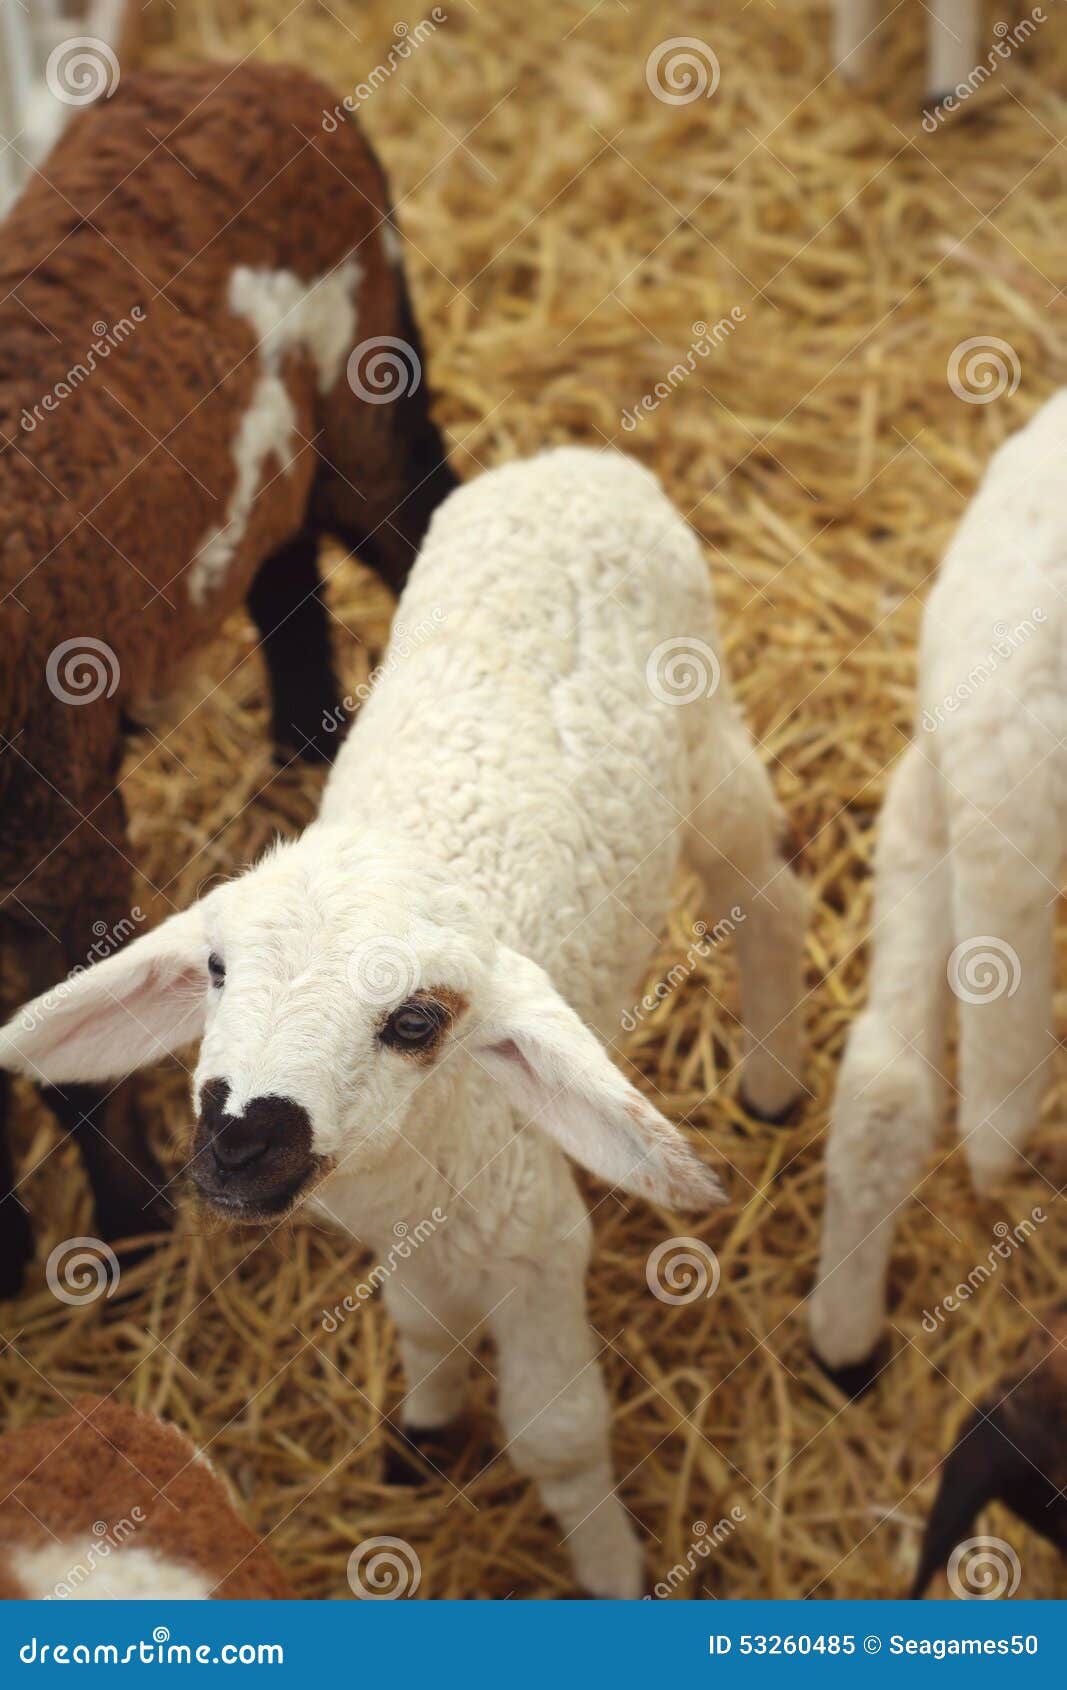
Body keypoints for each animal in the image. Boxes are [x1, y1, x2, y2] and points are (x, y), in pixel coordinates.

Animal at [0, 62, 456, 1297]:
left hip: (364, 388)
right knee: (280, 560)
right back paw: (308, 739)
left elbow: (65, 1055)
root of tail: (261, 74)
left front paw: (131, 1237)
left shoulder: (58, 828)